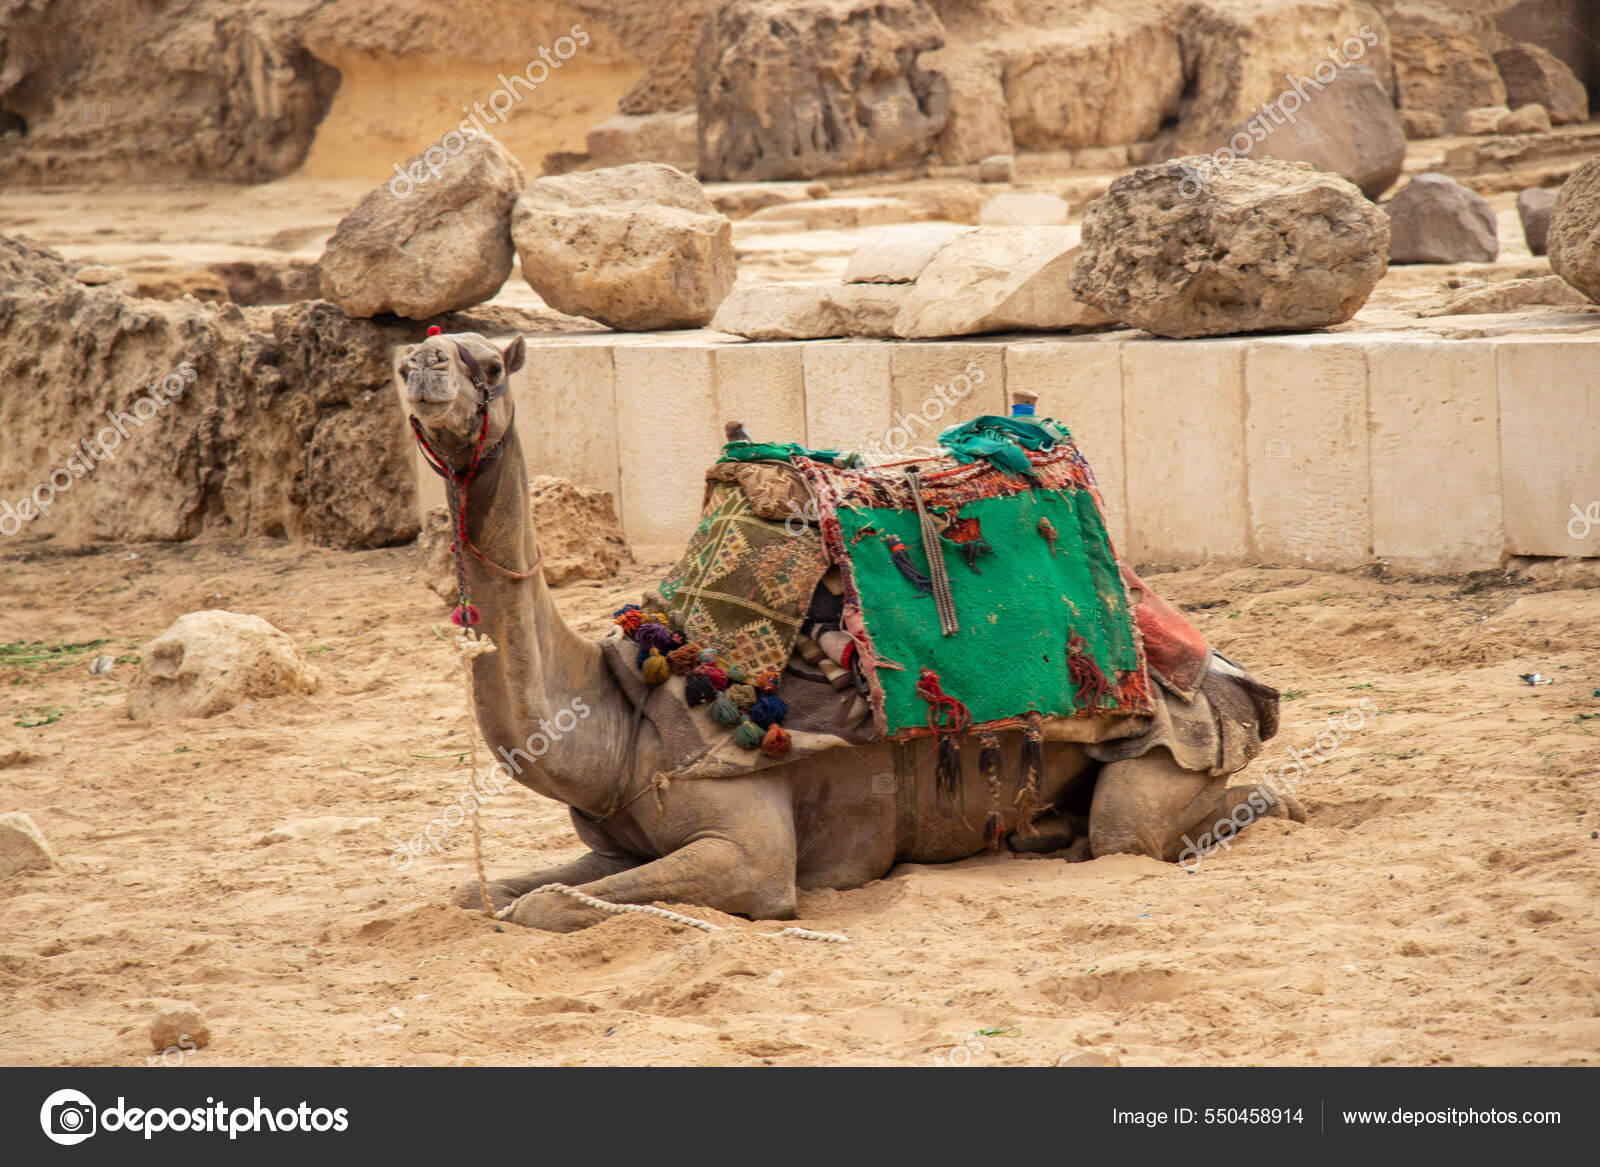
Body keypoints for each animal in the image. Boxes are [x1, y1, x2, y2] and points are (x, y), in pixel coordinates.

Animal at [396, 330, 1304, 932]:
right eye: (410, 358)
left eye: (488, 366)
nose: (420, 367)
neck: (617, 714)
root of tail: (1230, 674)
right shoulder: (614, 846)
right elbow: (485, 891)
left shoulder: (751, 852)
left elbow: (545, 903)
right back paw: (1045, 831)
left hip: (1179, 735)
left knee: (1151, 824)